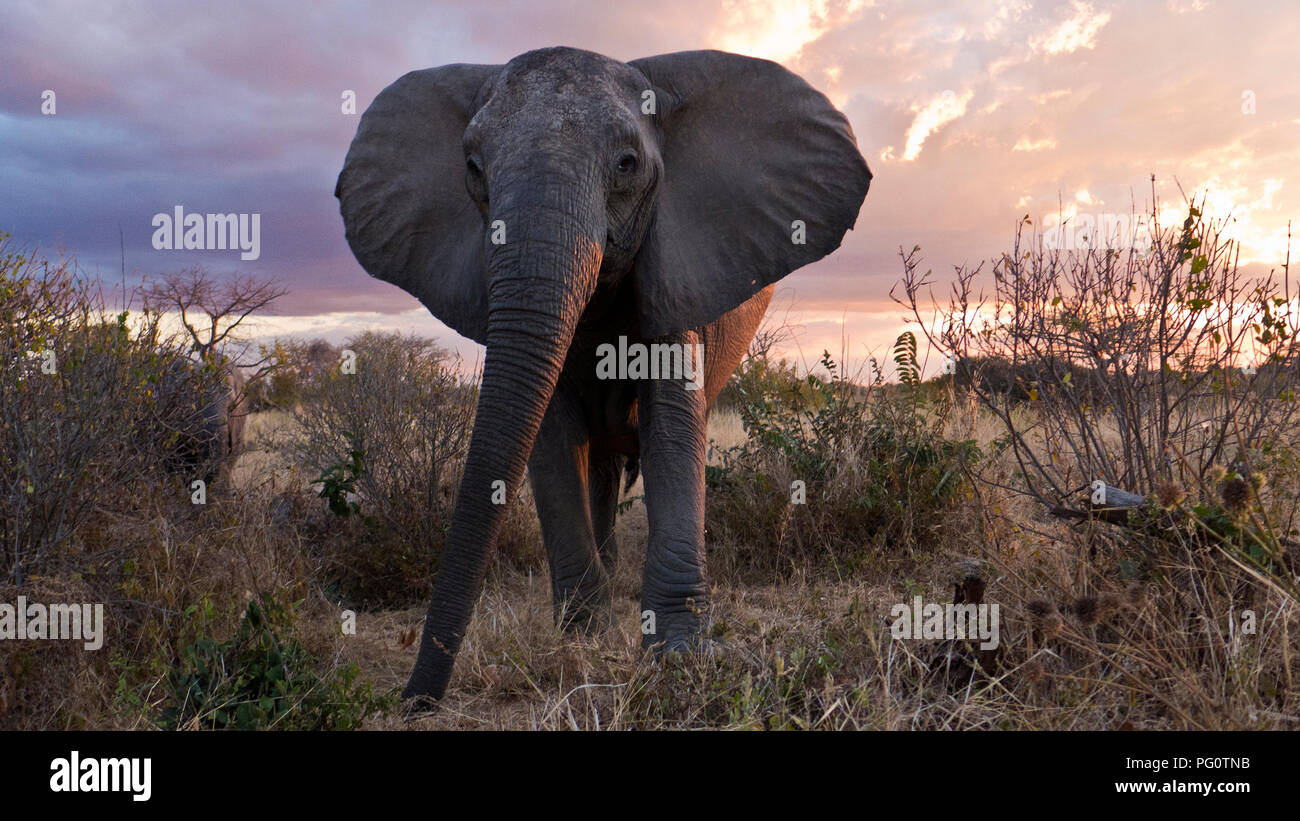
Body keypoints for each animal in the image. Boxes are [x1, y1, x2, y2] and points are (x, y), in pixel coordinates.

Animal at [336, 46, 872, 703]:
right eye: (472, 168)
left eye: (627, 165)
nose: (415, 700)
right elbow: (550, 439)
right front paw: (582, 634)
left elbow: (673, 431)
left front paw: (679, 654)